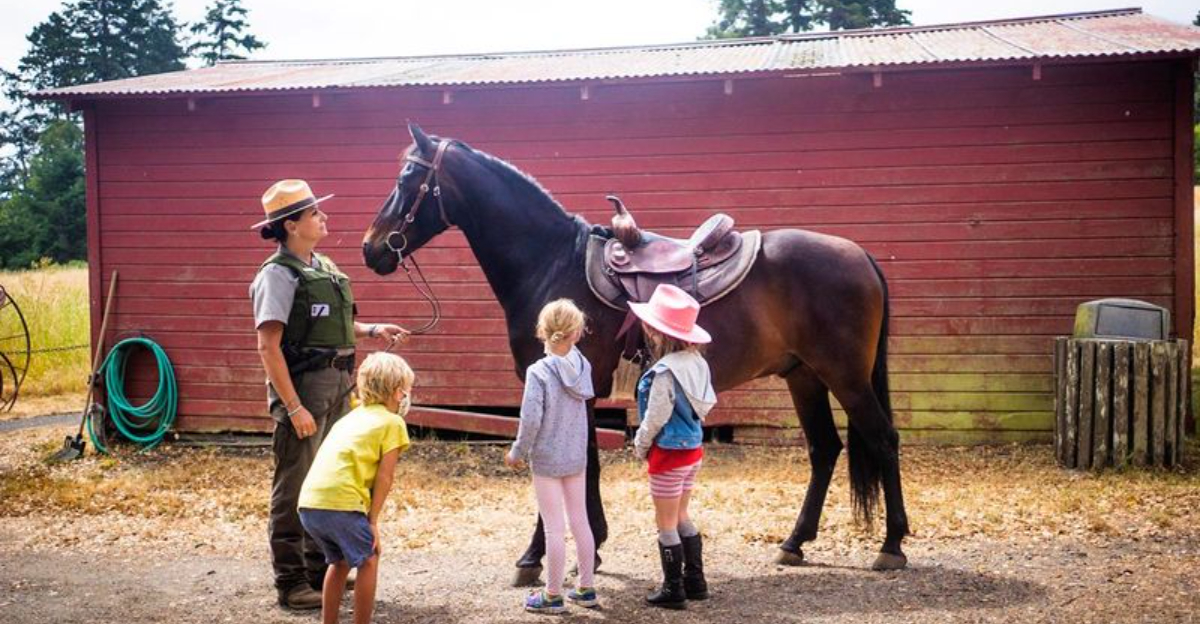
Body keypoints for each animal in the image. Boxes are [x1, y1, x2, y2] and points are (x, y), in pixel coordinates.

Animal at [362, 124, 910, 580]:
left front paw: (534, 558)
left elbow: (563, 462)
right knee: (825, 449)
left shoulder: (554, 385)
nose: (372, 248)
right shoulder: (581, 392)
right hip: (804, 376)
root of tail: (860, 254)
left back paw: (892, 546)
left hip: (845, 376)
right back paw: (794, 542)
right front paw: (594, 548)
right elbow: (587, 462)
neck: (550, 262)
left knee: (883, 439)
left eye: (409, 177)